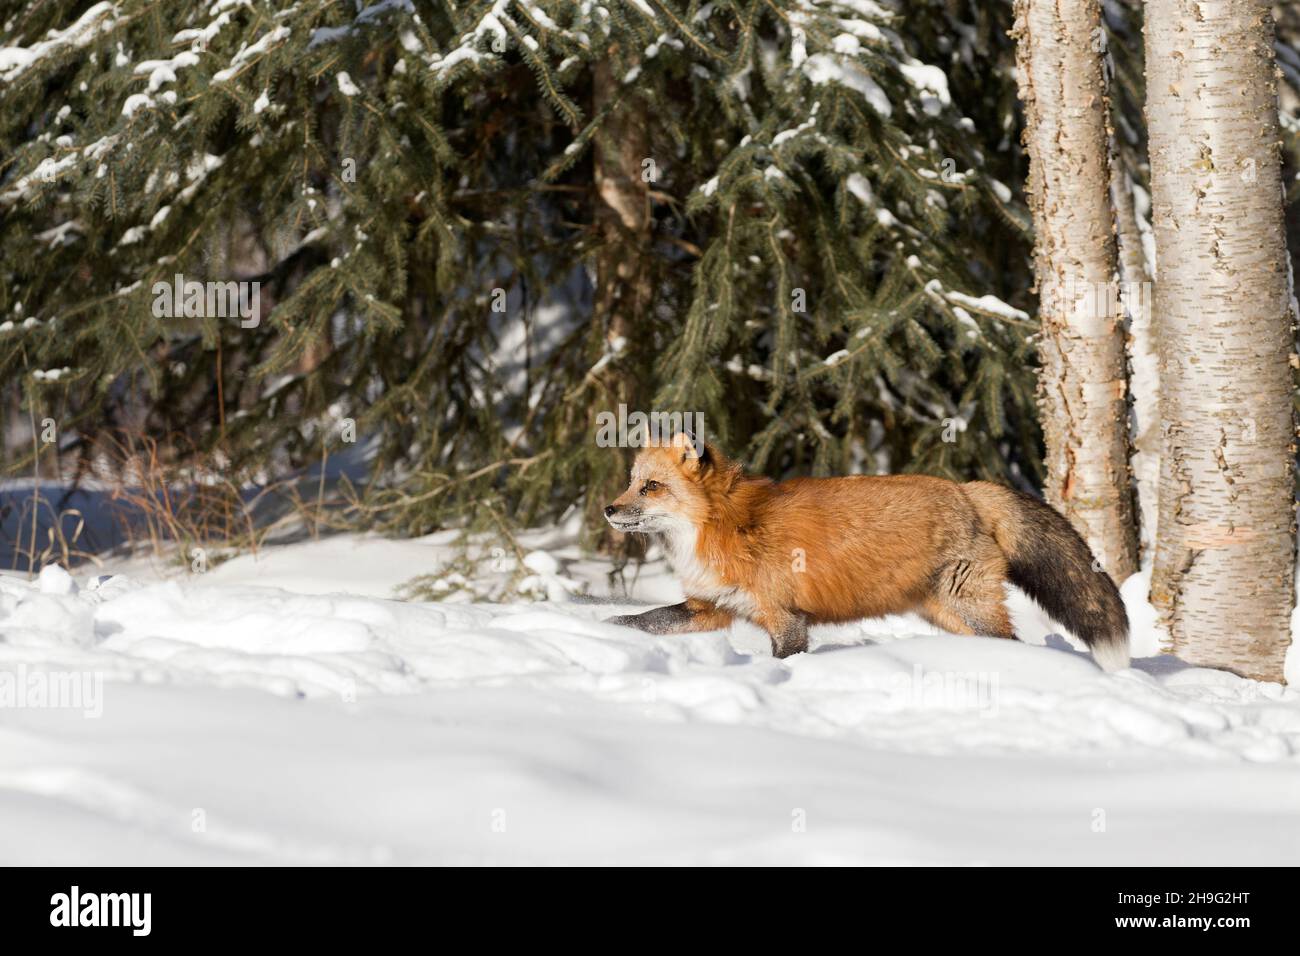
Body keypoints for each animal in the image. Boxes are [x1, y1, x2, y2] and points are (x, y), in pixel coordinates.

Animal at [602, 432, 1130, 672]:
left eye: (651, 487)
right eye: (630, 483)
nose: (608, 509)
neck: (726, 525)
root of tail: (967, 490)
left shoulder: (786, 618)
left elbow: (785, 659)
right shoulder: (708, 609)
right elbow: (638, 621)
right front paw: (598, 630)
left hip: (968, 606)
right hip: (943, 613)